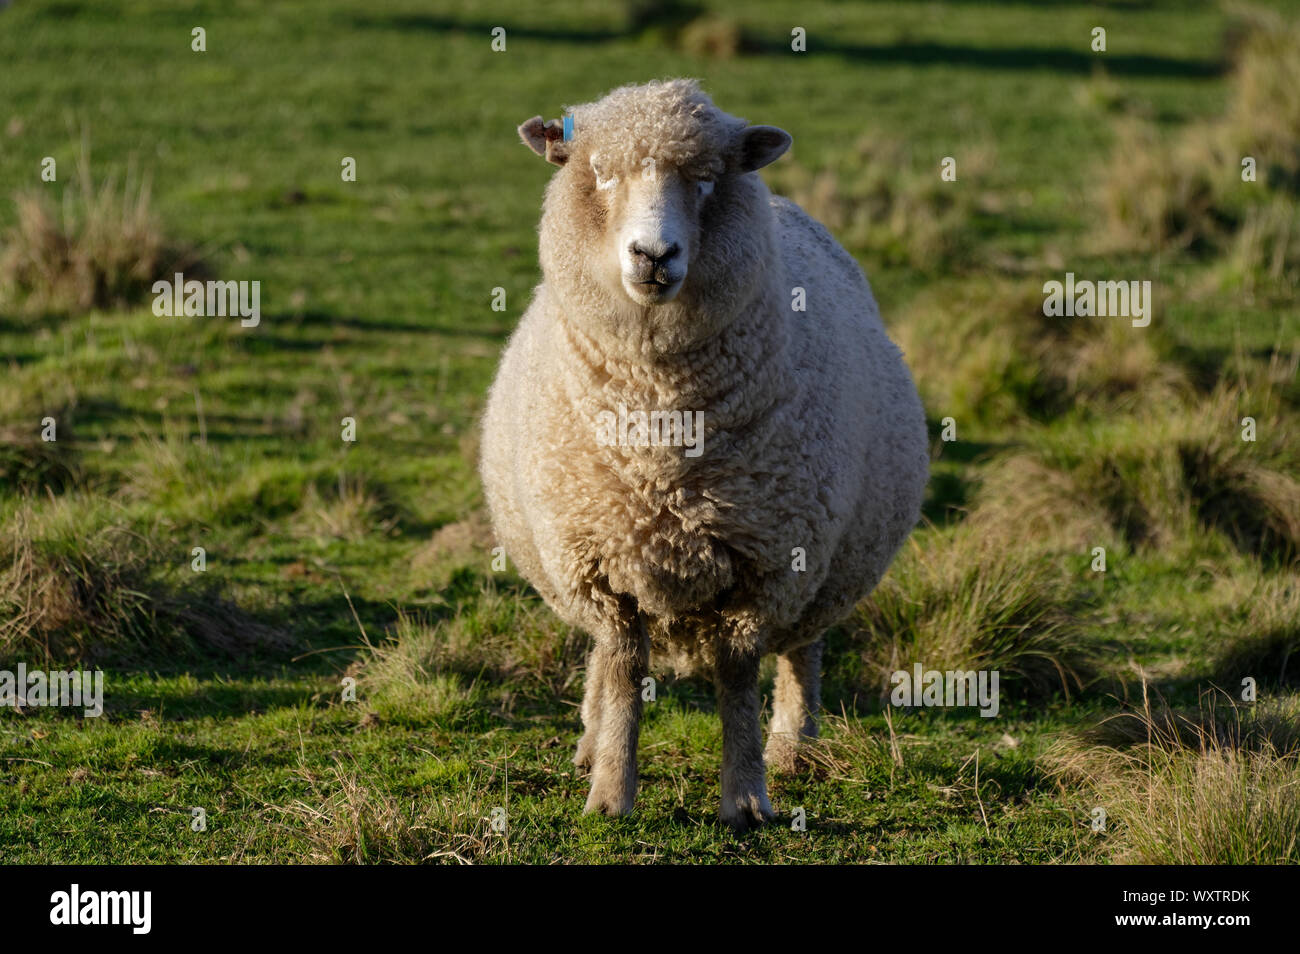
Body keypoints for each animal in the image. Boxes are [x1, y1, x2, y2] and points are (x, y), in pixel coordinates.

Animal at [479, 79, 929, 829]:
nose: (653, 256)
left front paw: (745, 796)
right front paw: (610, 791)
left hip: (821, 559)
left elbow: (738, 677)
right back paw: (589, 743)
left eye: (709, 178)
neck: (661, 436)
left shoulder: (766, 561)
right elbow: (623, 671)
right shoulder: (598, 564)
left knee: (802, 650)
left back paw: (794, 745)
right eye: (599, 172)